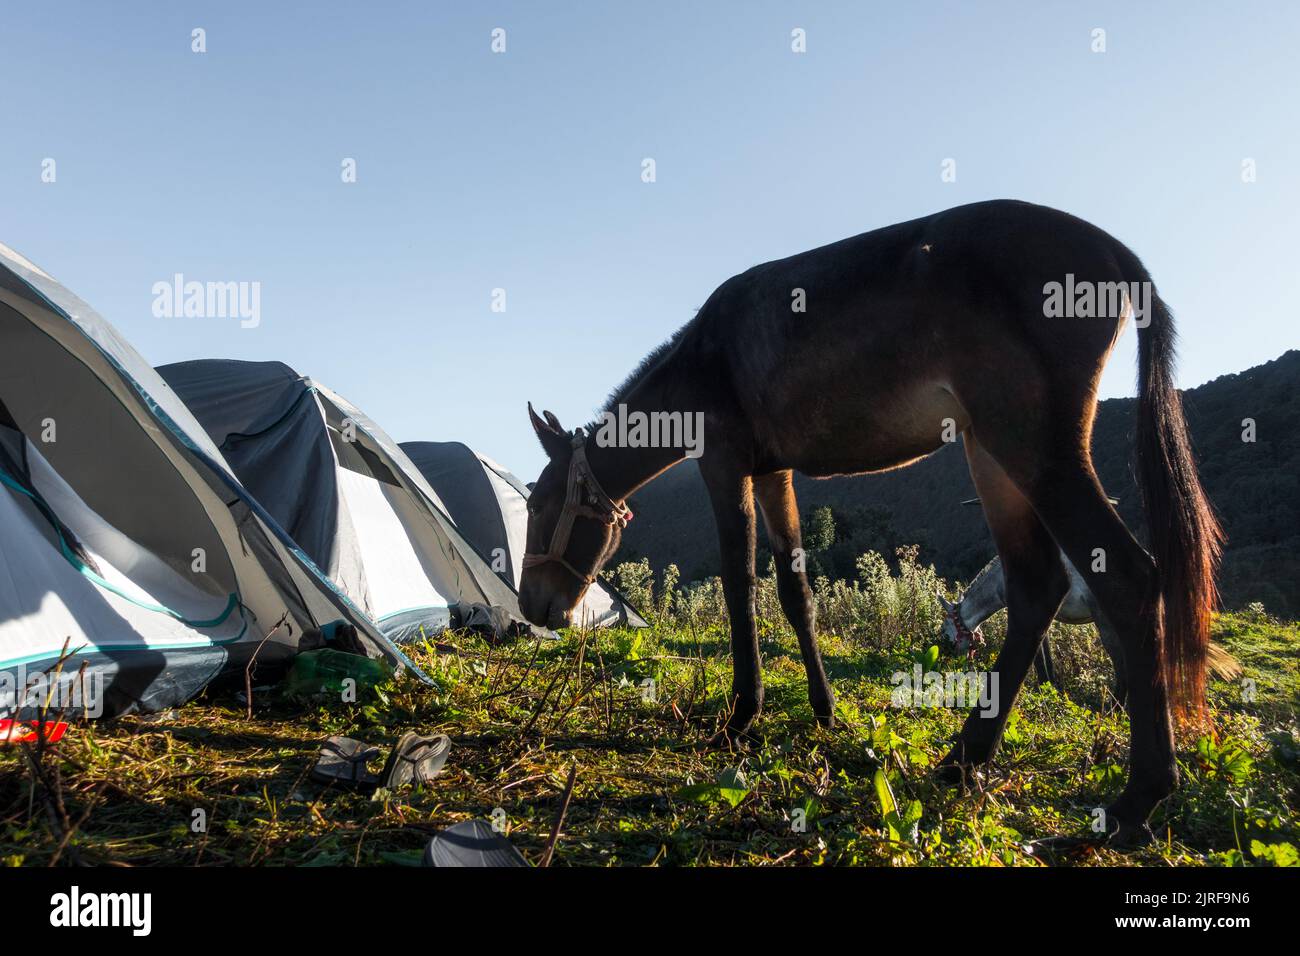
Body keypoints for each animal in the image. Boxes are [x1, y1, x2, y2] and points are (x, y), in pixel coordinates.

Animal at [519, 199, 1223, 844]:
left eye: (538, 503)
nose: (530, 606)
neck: (700, 362)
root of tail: (1115, 254)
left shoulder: (724, 466)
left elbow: (739, 585)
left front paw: (743, 714)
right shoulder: (774, 473)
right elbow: (795, 591)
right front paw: (824, 711)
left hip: (1032, 446)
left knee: (1128, 577)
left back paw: (1138, 798)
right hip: (993, 451)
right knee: (1035, 586)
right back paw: (966, 758)